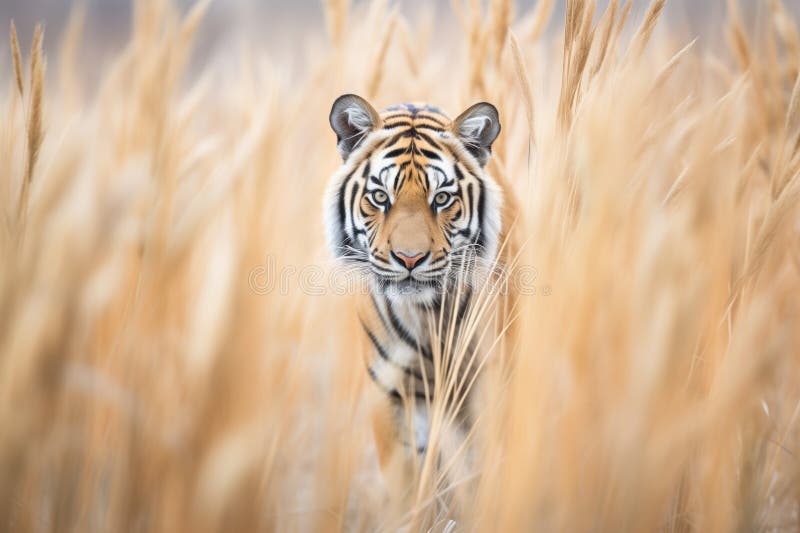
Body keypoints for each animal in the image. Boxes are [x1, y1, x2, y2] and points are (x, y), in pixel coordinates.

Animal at [324, 94, 504, 489]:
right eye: (379, 196)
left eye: (442, 198)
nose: (410, 258)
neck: (428, 314)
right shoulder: (394, 394)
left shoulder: (485, 385)